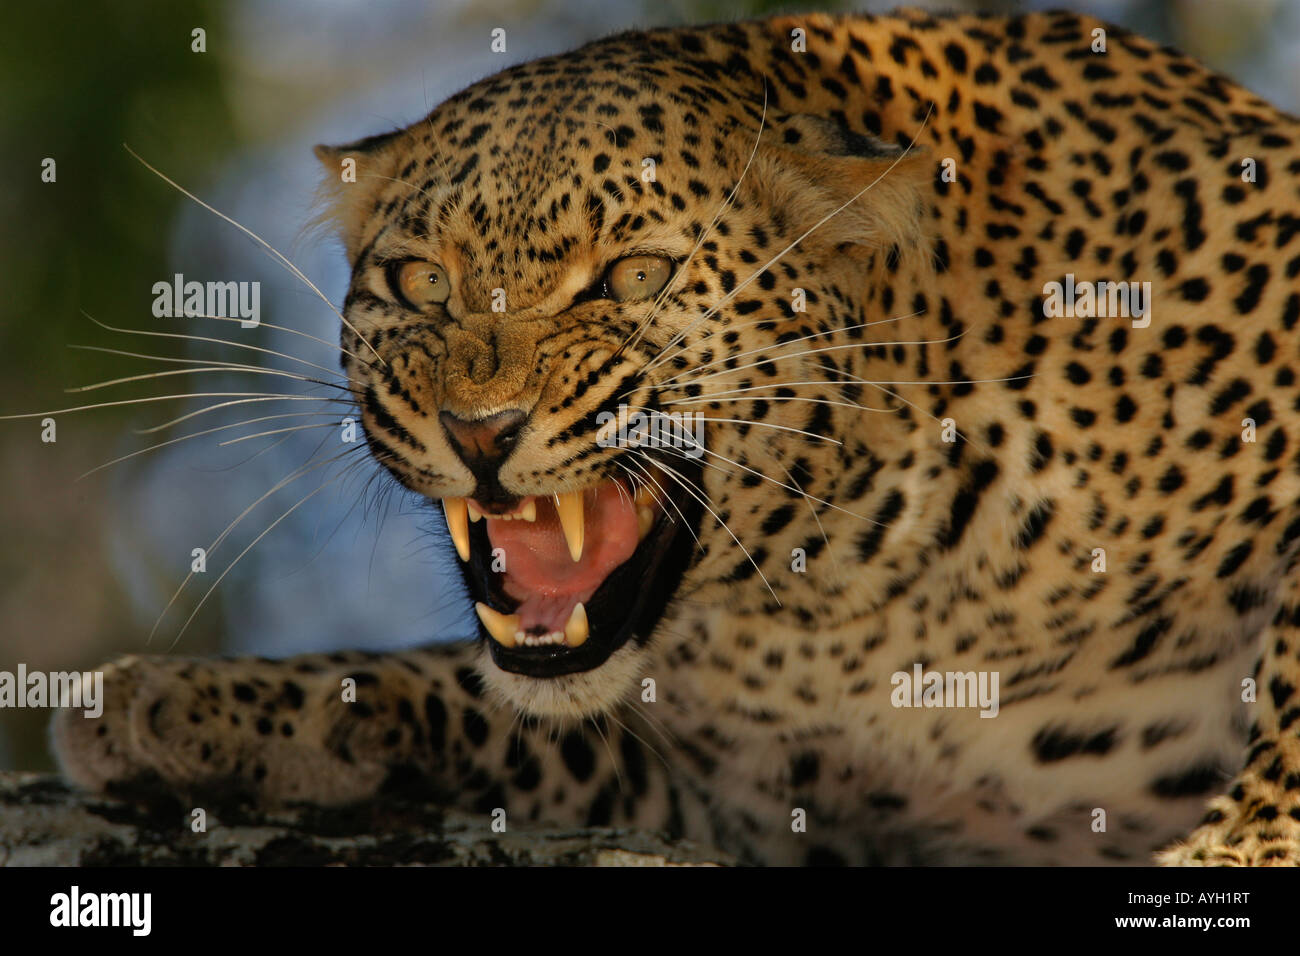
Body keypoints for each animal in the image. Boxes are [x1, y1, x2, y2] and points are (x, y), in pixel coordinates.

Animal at [51, 8, 1300, 865]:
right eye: (422, 282)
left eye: (635, 276)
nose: (478, 429)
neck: (839, 604)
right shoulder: (764, 795)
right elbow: (466, 688)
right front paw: (186, 700)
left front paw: (1240, 837)